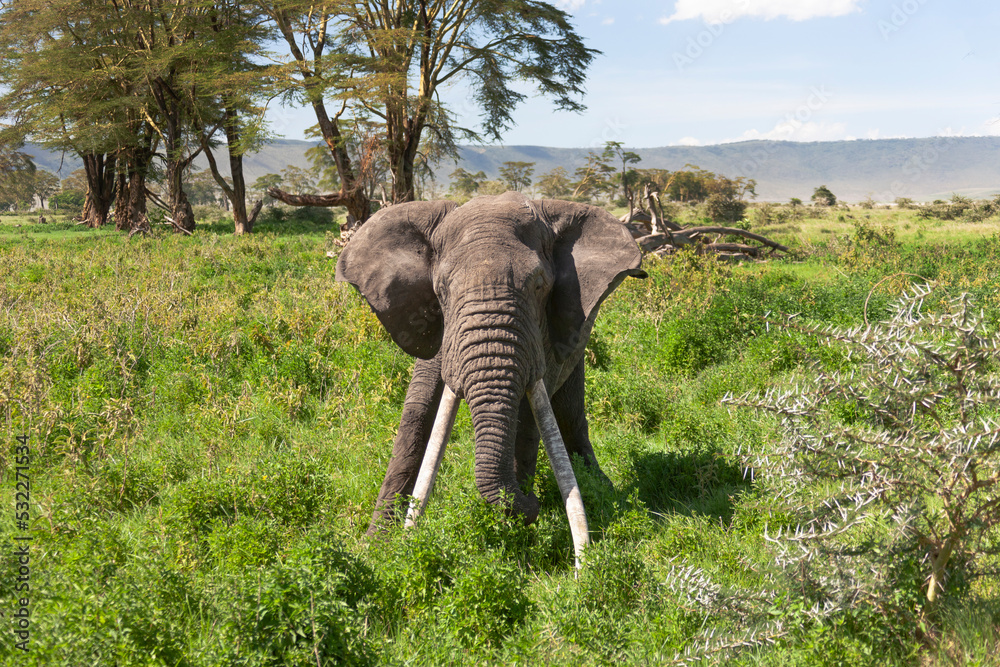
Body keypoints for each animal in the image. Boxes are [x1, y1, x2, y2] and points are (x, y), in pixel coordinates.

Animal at [336, 191, 645, 564]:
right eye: (442, 290)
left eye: (540, 286)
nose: (534, 502)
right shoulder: (433, 319)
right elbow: (417, 412)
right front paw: (376, 548)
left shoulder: (542, 330)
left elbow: (528, 415)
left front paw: (516, 538)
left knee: (570, 413)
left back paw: (601, 490)